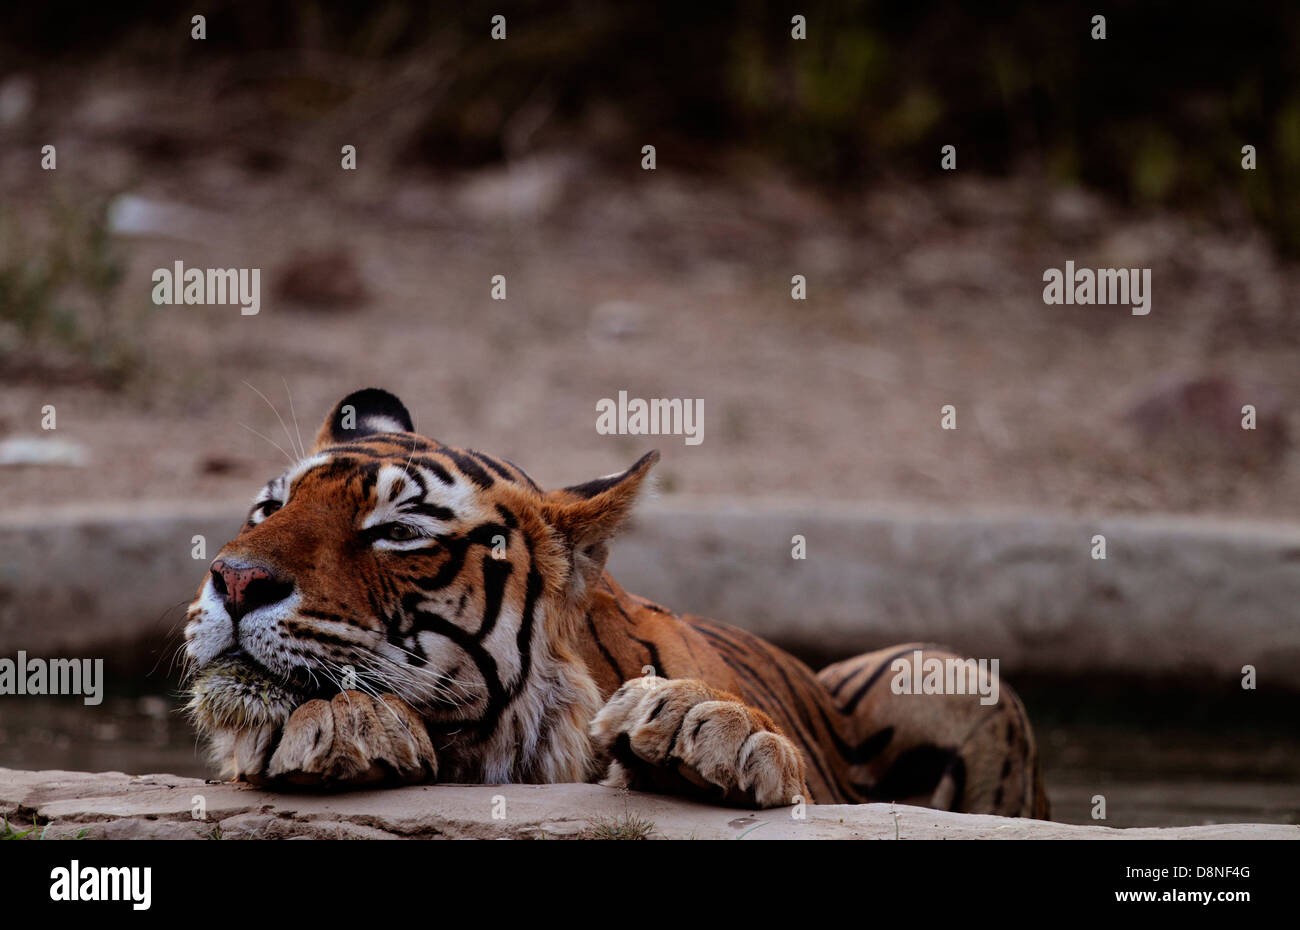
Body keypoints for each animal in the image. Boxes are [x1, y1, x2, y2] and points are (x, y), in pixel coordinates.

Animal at [184, 388, 1049, 816]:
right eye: (268, 508)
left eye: (397, 531)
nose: (234, 579)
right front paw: (341, 726)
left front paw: (711, 733)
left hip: (948, 672)